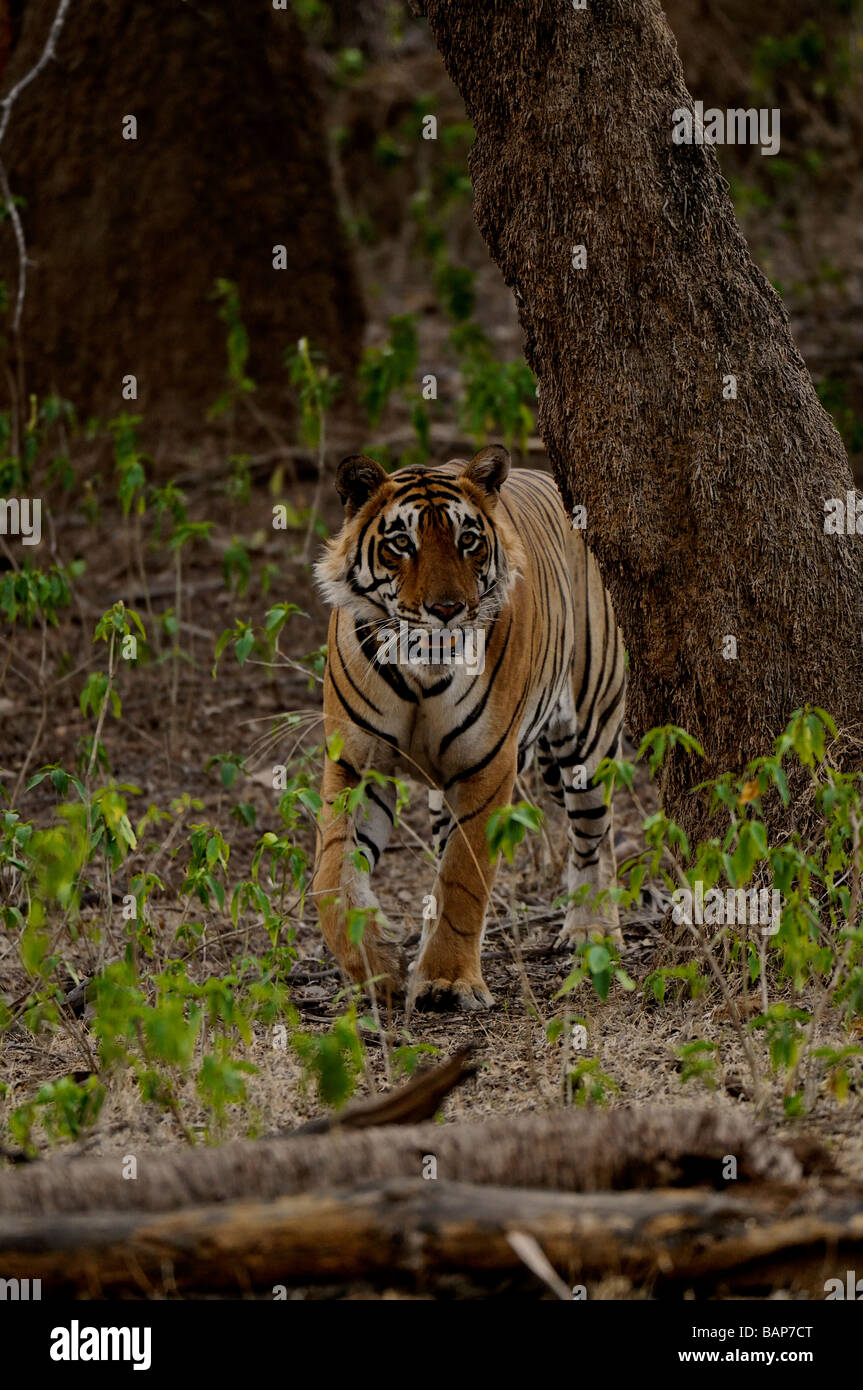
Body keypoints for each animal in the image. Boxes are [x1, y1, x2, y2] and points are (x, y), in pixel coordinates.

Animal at [312, 444, 626, 1012]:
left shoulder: (488, 768)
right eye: (401, 544)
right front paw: (378, 967)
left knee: (596, 832)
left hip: (586, 738)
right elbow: (332, 876)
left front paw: (447, 982)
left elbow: (463, 878)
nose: (447, 609)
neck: (421, 671)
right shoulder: (355, 764)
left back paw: (591, 931)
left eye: (468, 541)